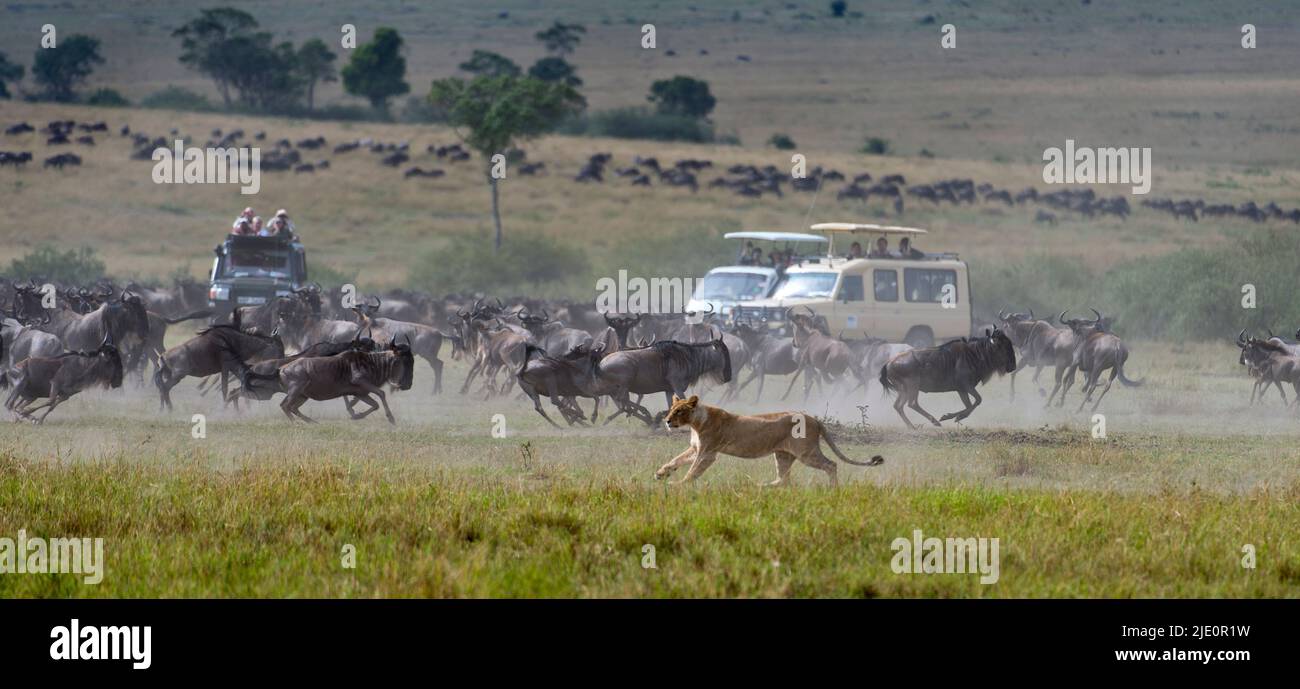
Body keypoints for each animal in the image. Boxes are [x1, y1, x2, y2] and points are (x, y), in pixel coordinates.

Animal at [655, 395, 884, 486]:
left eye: (680, 411)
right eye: (671, 409)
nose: (667, 421)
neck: (695, 423)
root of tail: (814, 419)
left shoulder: (707, 453)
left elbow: (693, 470)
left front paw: (678, 485)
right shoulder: (696, 449)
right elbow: (676, 460)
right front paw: (661, 473)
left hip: (806, 453)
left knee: (831, 465)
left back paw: (833, 489)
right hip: (783, 455)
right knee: (783, 480)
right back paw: (759, 486)